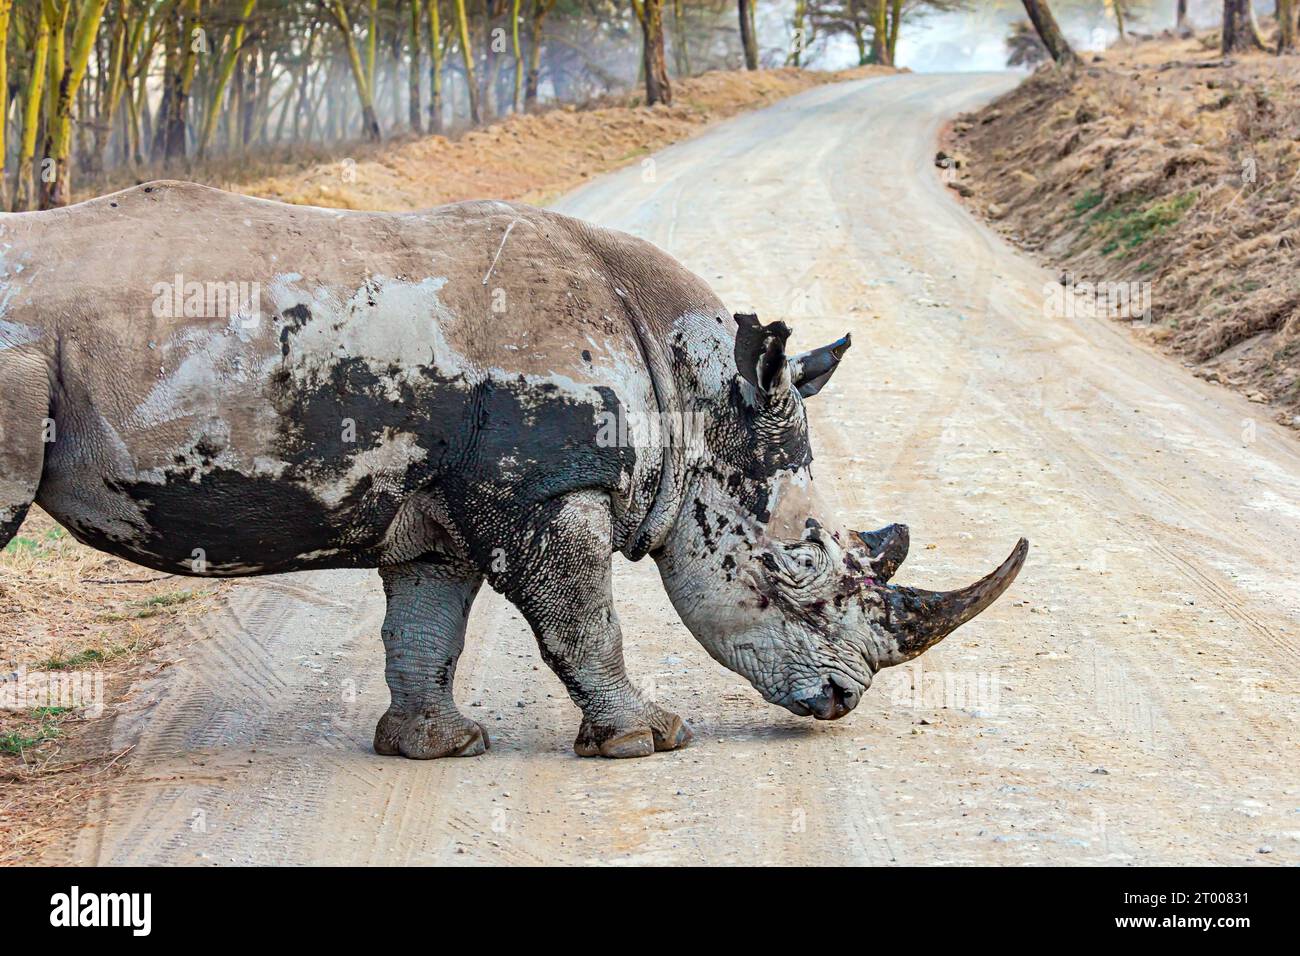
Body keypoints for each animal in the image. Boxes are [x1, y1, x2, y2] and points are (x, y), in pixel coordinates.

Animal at [0, 182, 1026, 759]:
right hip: (23, 344)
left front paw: (435, 749)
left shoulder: (445, 503)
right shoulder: (548, 489)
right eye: (796, 571)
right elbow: (584, 623)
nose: (844, 700)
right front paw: (648, 741)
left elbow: (426, 626)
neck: (694, 399)